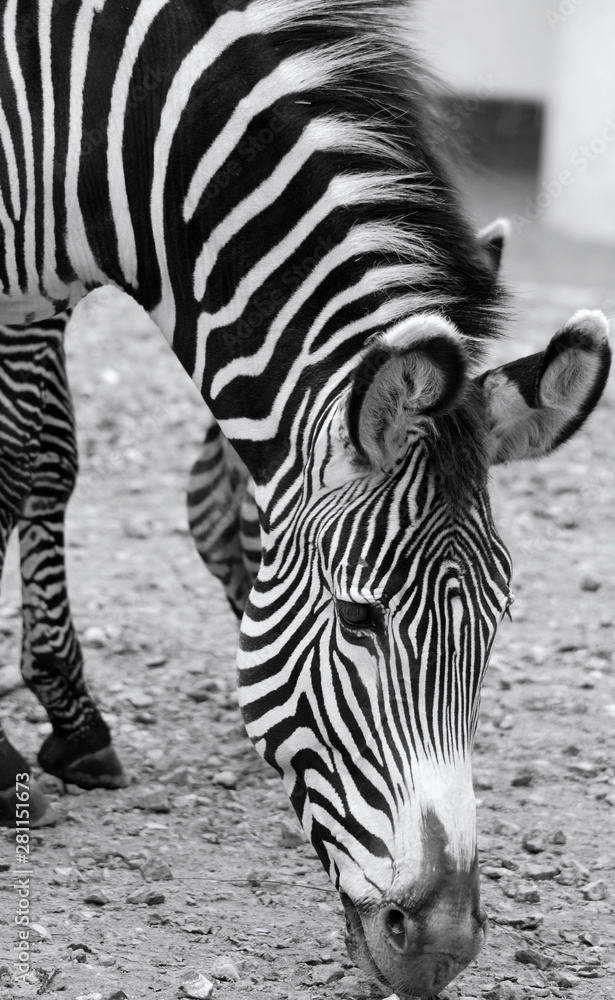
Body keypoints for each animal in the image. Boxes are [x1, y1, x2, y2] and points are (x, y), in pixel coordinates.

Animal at [0, 2, 611, 995]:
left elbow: (41, 459)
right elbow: (21, 461)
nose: (439, 945)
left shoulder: (31, 295)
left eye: (497, 623)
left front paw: (67, 719)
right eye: (358, 619)